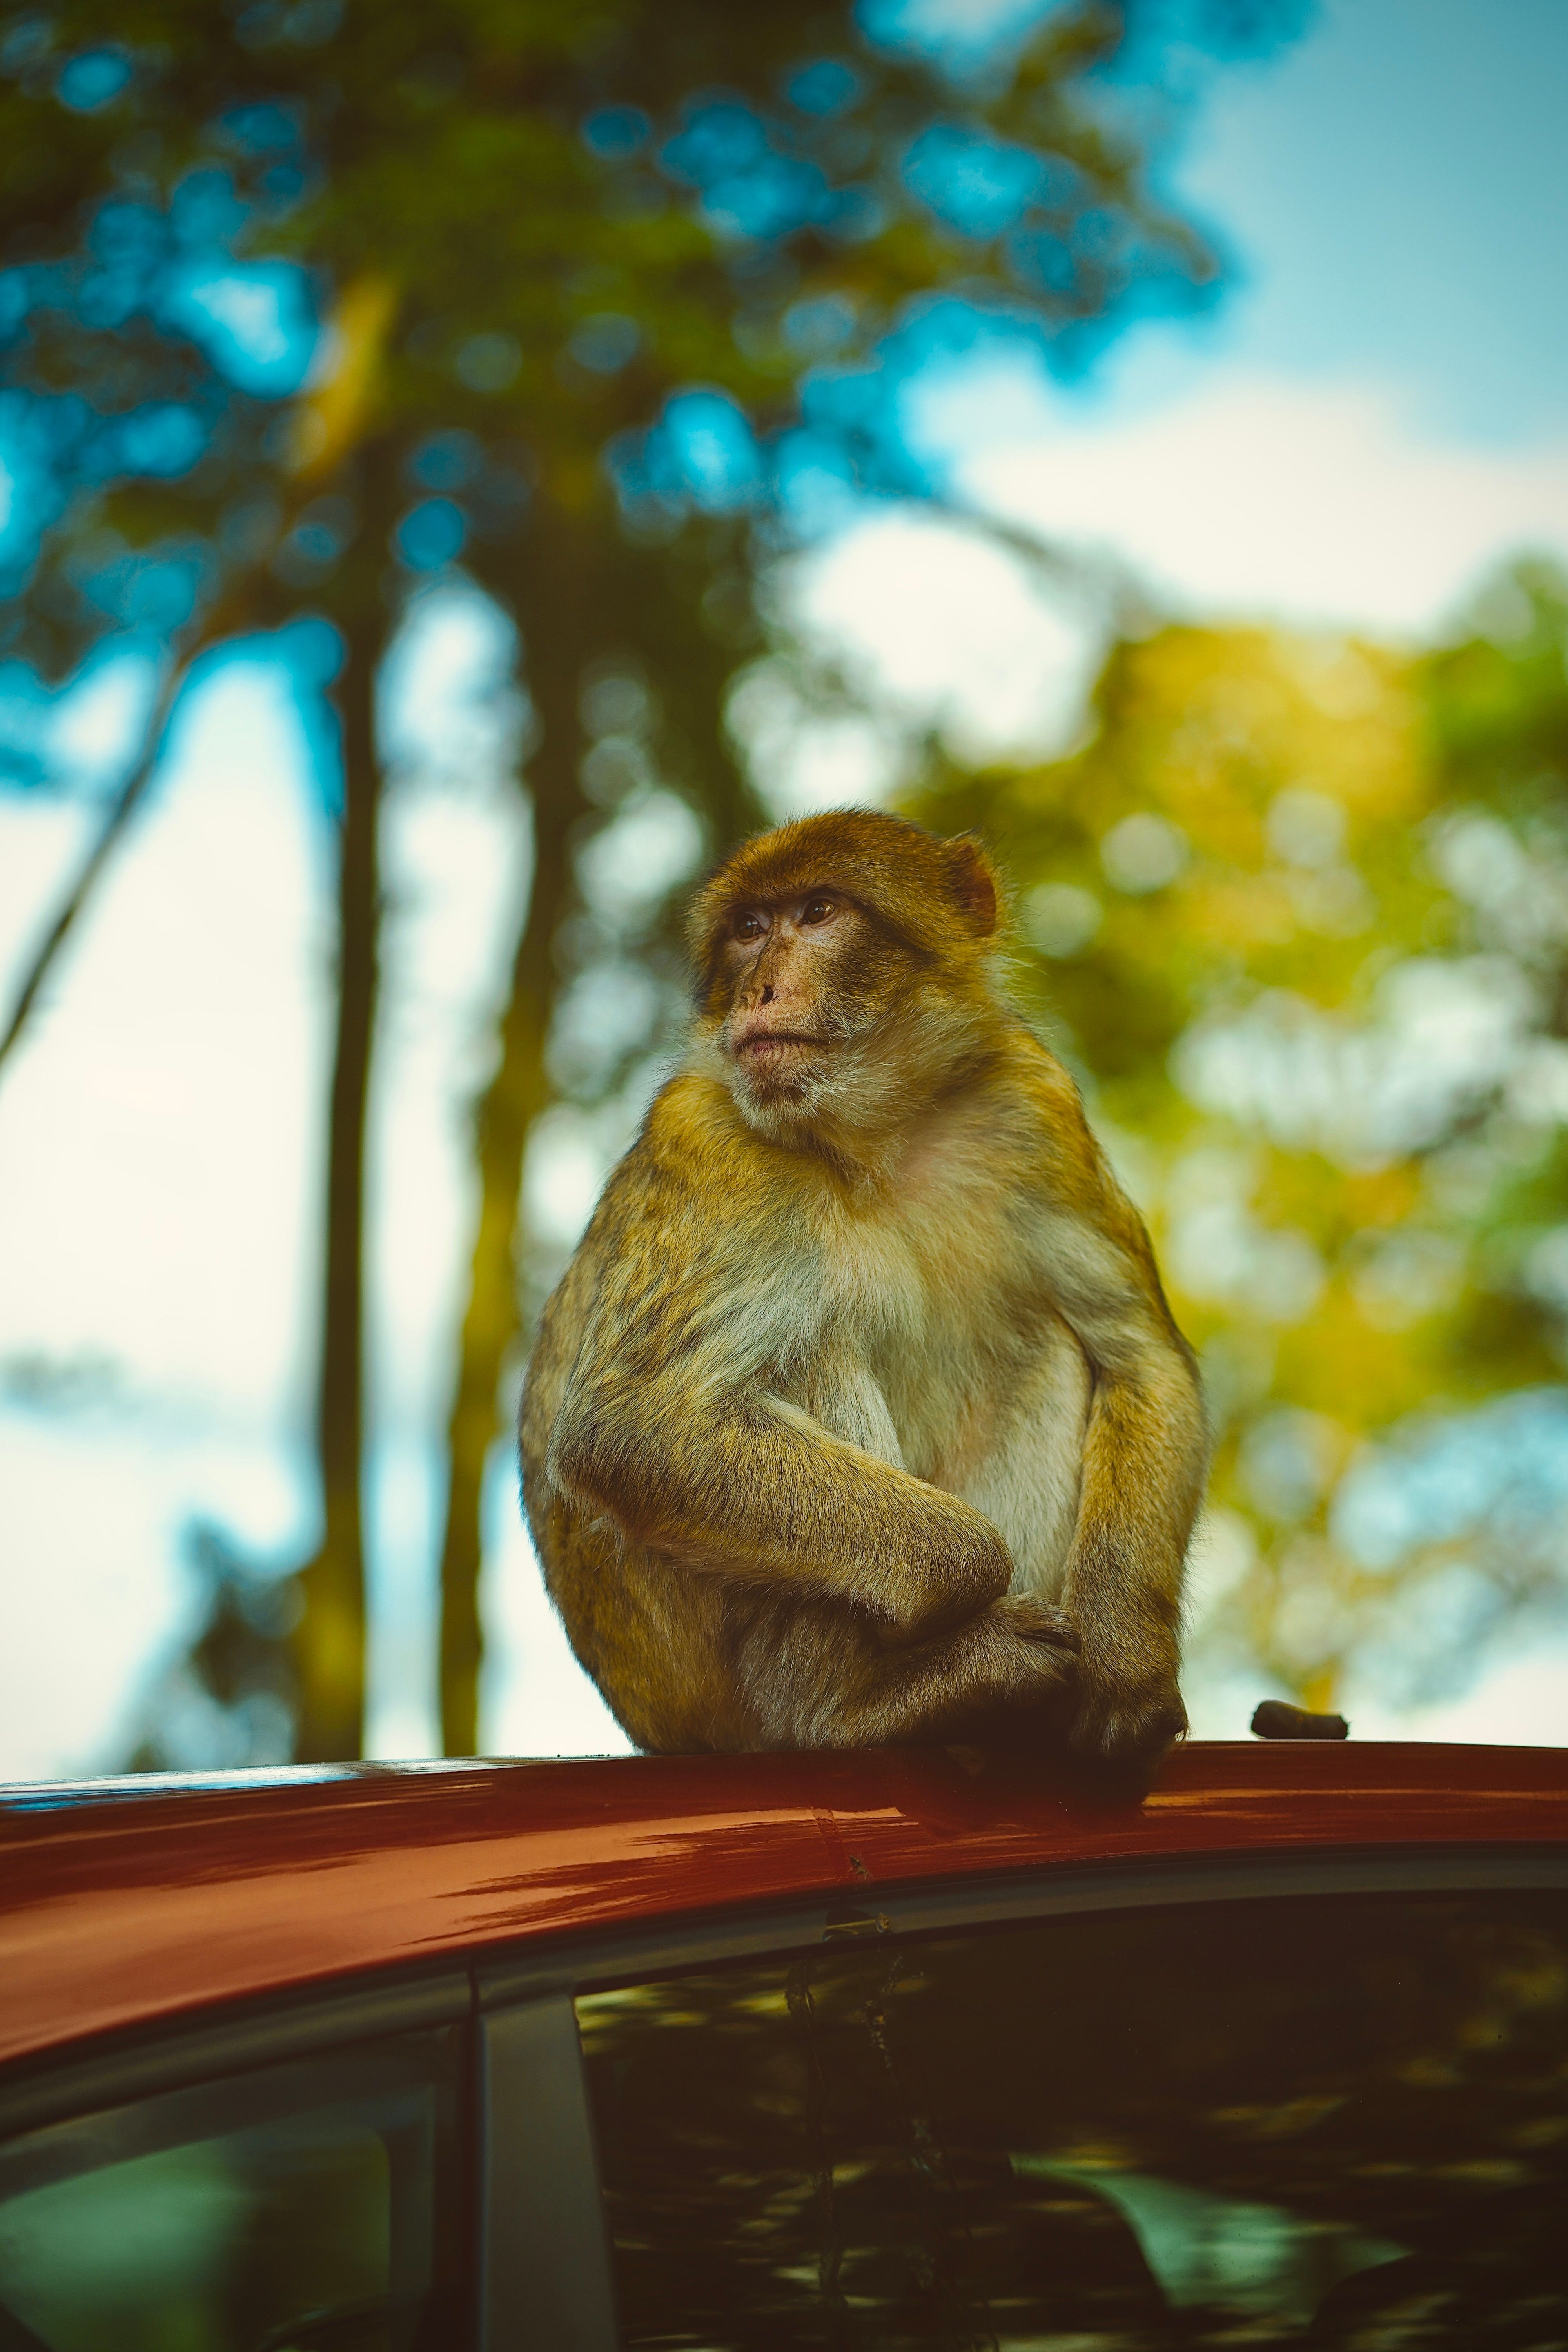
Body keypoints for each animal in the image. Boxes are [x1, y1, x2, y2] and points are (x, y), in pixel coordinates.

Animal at [520, 810, 1207, 1772]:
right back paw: (865, 1702)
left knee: (1048, 1347)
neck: (874, 1137)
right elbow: (633, 1425)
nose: (760, 987)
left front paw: (1126, 1663)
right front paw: (970, 1573)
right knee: (803, 1347)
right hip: (731, 1700)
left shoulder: (1034, 1102)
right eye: (747, 929)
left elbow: (1139, 1358)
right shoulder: (707, 1139)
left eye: (818, 912)